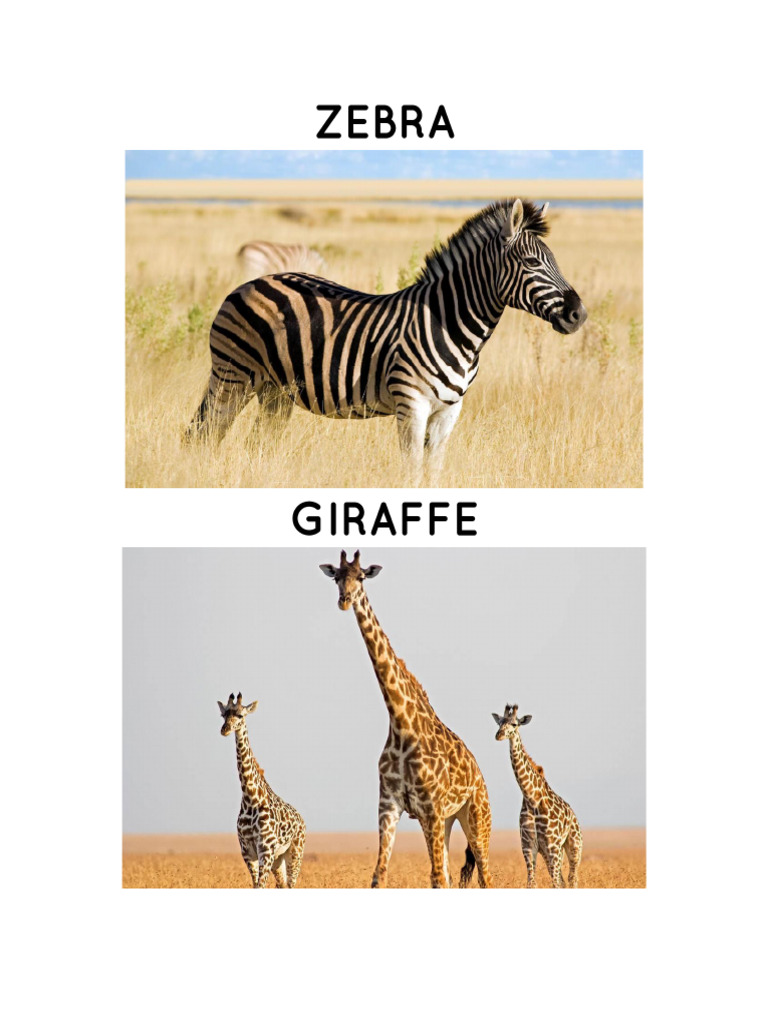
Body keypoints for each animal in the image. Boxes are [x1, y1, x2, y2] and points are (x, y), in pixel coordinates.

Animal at [189, 199, 587, 480]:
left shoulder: (448, 412)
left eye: (554, 261)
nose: (579, 314)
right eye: (533, 264)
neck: (450, 324)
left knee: (257, 443)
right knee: (205, 434)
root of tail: (250, 282)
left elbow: (433, 474)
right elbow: (411, 474)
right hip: (233, 376)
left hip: (275, 390)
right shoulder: (411, 405)